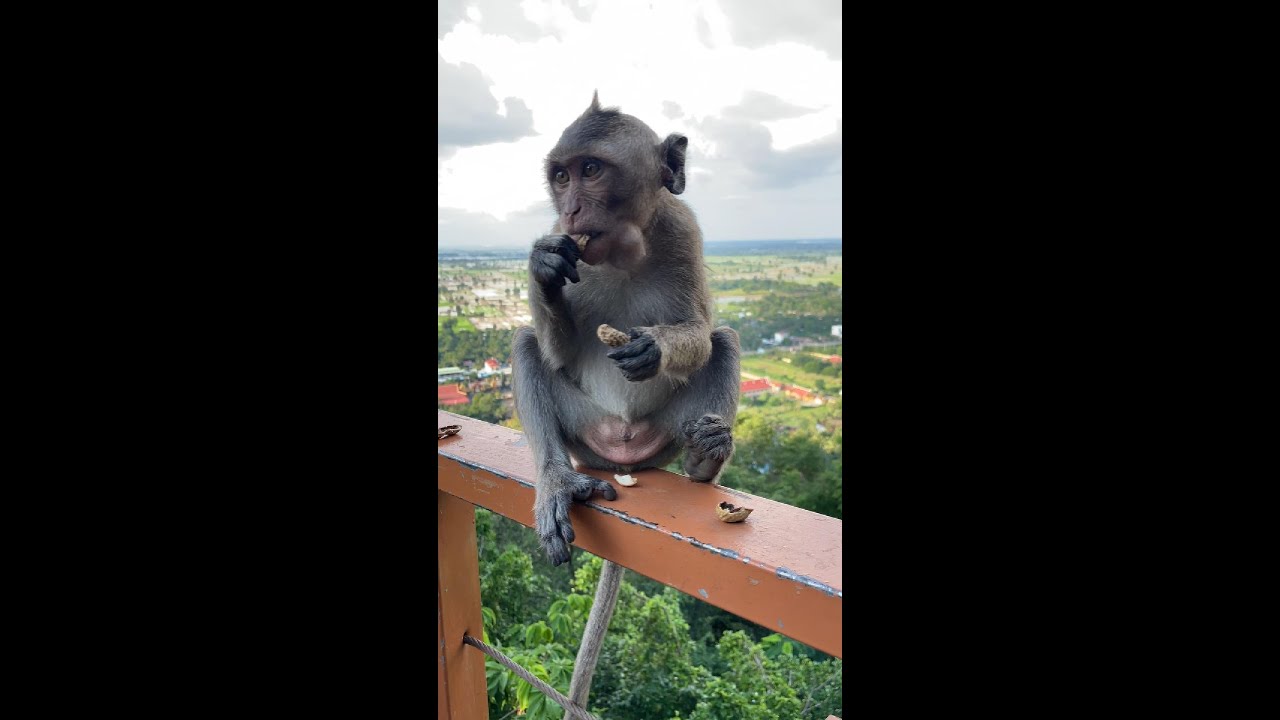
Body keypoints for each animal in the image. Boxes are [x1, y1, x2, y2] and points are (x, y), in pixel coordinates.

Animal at [511, 92, 741, 570]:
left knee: (723, 342)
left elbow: (698, 329)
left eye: (590, 170)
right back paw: (557, 481)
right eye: (561, 177)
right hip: (585, 428)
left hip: (668, 430)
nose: (570, 209)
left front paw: (653, 347)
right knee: (526, 344)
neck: (621, 252)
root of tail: (625, 456)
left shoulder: (681, 230)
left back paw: (705, 458)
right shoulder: (564, 237)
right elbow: (558, 352)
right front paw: (543, 267)